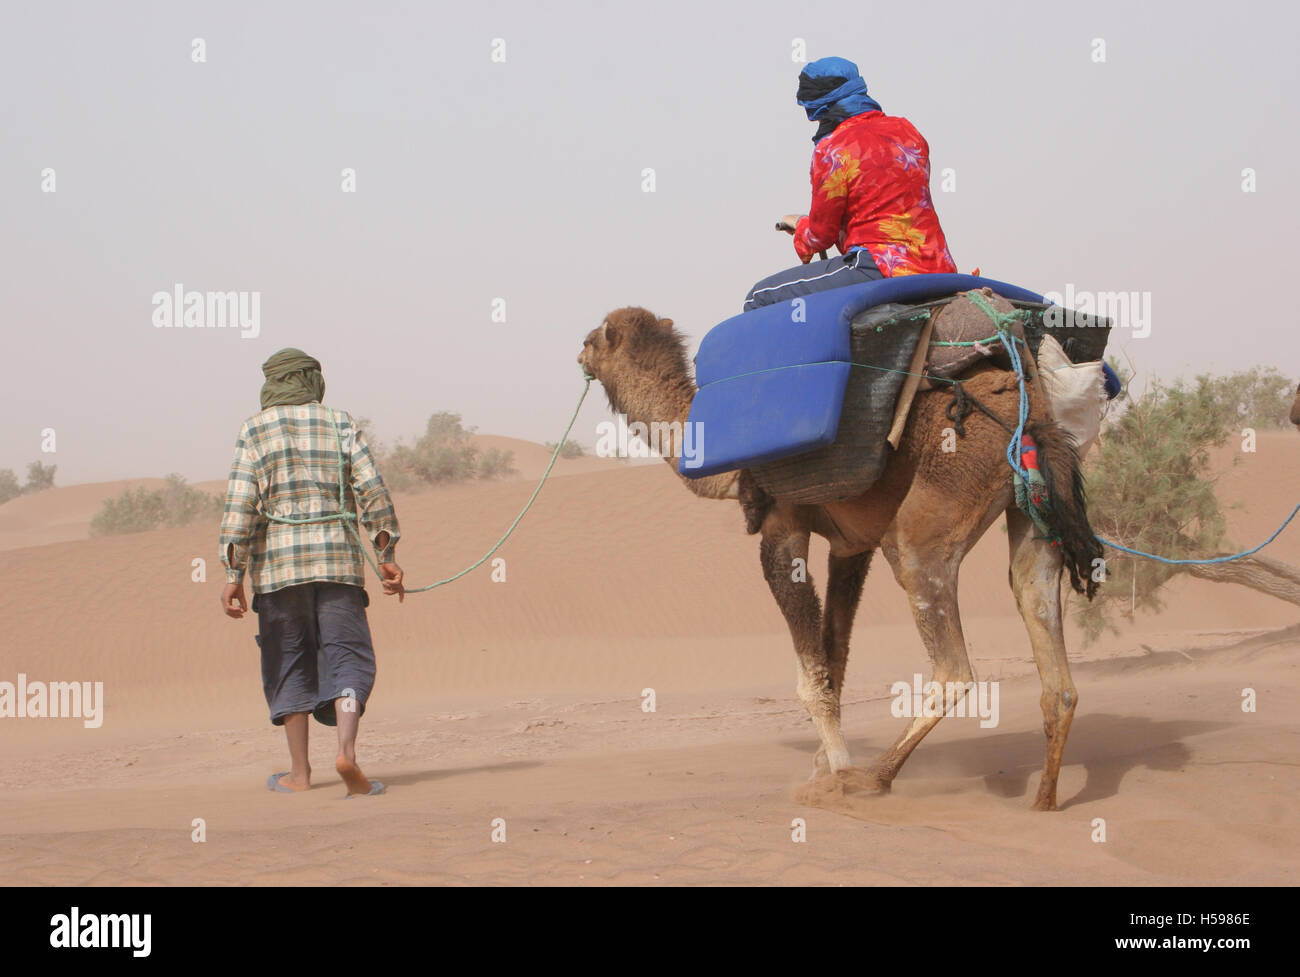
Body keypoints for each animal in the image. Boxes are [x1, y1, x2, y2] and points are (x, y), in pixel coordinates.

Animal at [578, 304, 1103, 810]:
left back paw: (871, 779)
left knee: (951, 665)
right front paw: (822, 765)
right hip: (1030, 512)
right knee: (1044, 635)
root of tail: (1030, 412)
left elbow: (811, 673)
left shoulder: (782, 526)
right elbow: (835, 656)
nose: (579, 355)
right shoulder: (851, 544)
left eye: (593, 338)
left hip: (941, 497)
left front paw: (834, 772)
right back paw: (1044, 800)